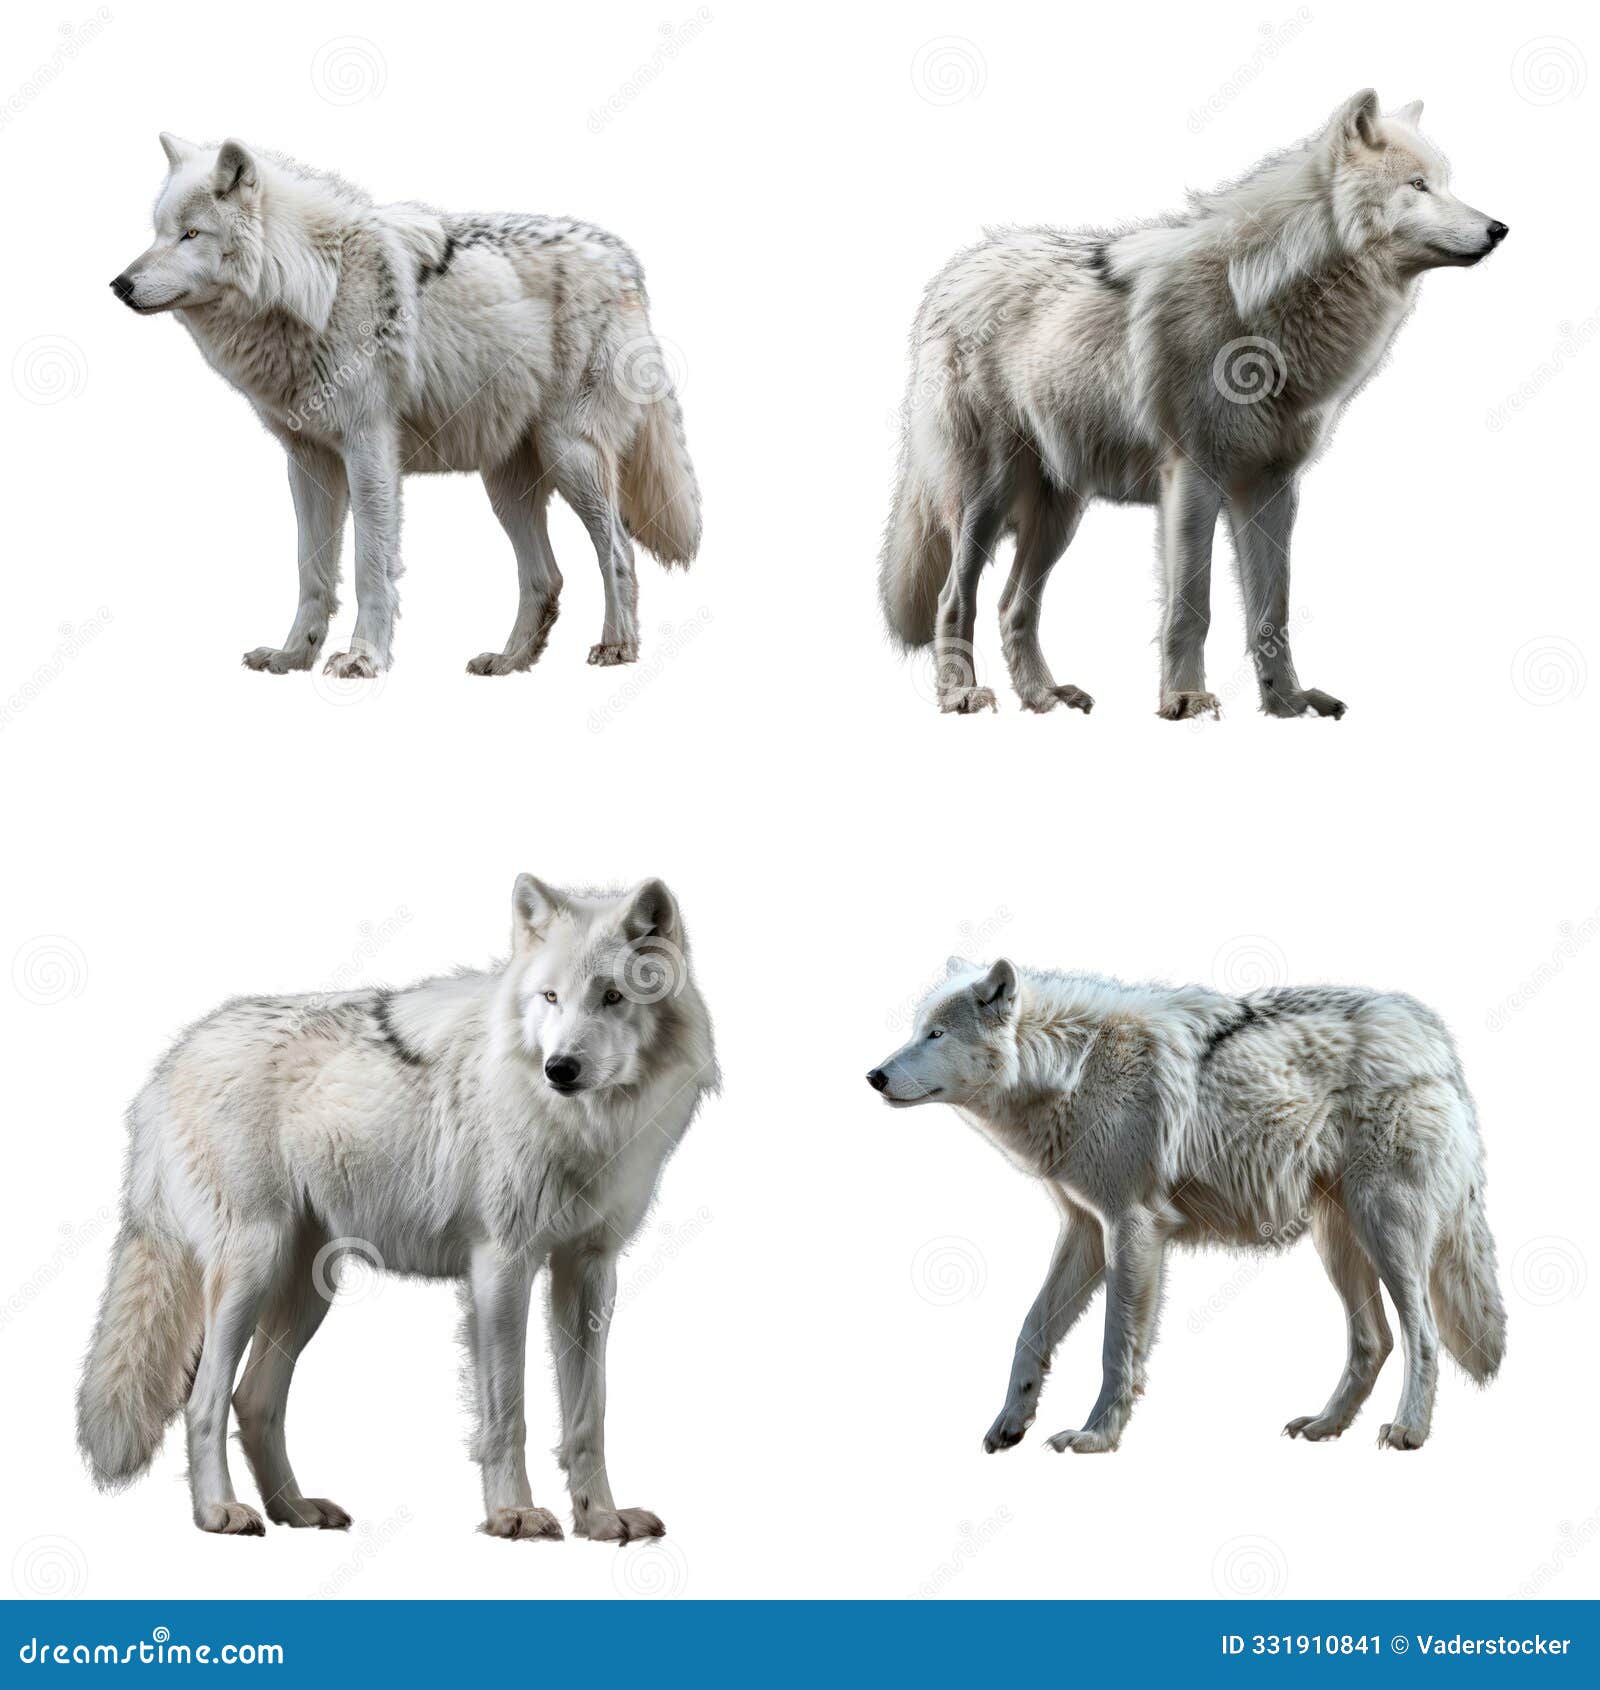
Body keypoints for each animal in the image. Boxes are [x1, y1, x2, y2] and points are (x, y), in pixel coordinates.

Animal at [78, 877, 717, 1539]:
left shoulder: (588, 1268)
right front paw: (512, 1513)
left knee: (252, 1400)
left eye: (613, 996)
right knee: (203, 1401)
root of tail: (172, 1060)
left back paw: (295, 1510)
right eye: (551, 997)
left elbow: (589, 1418)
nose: (560, 1069)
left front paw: (601, 1519)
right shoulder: (502, 1265)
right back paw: (219, 1513)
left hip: (306, 1290)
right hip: (250, 1270)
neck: (581, 1125)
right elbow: (508, 1412)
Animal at [111, 137, 700, 677]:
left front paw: (362, 657)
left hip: (570, 455)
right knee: (546, 577)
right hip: (506, 485)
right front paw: (293, 655)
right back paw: (509, 660)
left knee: (617, 551)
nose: (119, 284)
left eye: (191, 234)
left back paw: (617, 646)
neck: (318, 286)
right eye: (159, 231)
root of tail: (624, 261)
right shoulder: (308, 460)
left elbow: (370, 565)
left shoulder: (369, 447)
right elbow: (311, 569)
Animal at [867, 960, 1504, 1451]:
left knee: (1422, 1335)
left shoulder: (1133, 1227)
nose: (873, 1075)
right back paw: (1325, 1426)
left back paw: (1408, 1431)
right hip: (1337, 1240)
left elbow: (1116, 1347)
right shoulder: (1084, 1228)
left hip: (1386, 1230)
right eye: (918, 1030)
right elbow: (1031, 1332)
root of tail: (1437, 1039)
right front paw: (1009, 1424)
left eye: (936, 1035)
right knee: (1375, 1341)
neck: (1073, 1065)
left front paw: (1095, 1437)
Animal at [880, 92, 1507, 718]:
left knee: (1014, 605)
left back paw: (1043, 696)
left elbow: (1272, 610)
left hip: (1061, 509)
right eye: (1418, 185)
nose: (1499, 228)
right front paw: (1184, 697)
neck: (1265, 308)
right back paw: (961, 692)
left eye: (1446, 184)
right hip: (987, 495)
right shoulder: (1193, 475)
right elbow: (1191, 606)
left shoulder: (1272, 486)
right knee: (953, 598)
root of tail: (954, 274)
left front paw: (1286, 701)